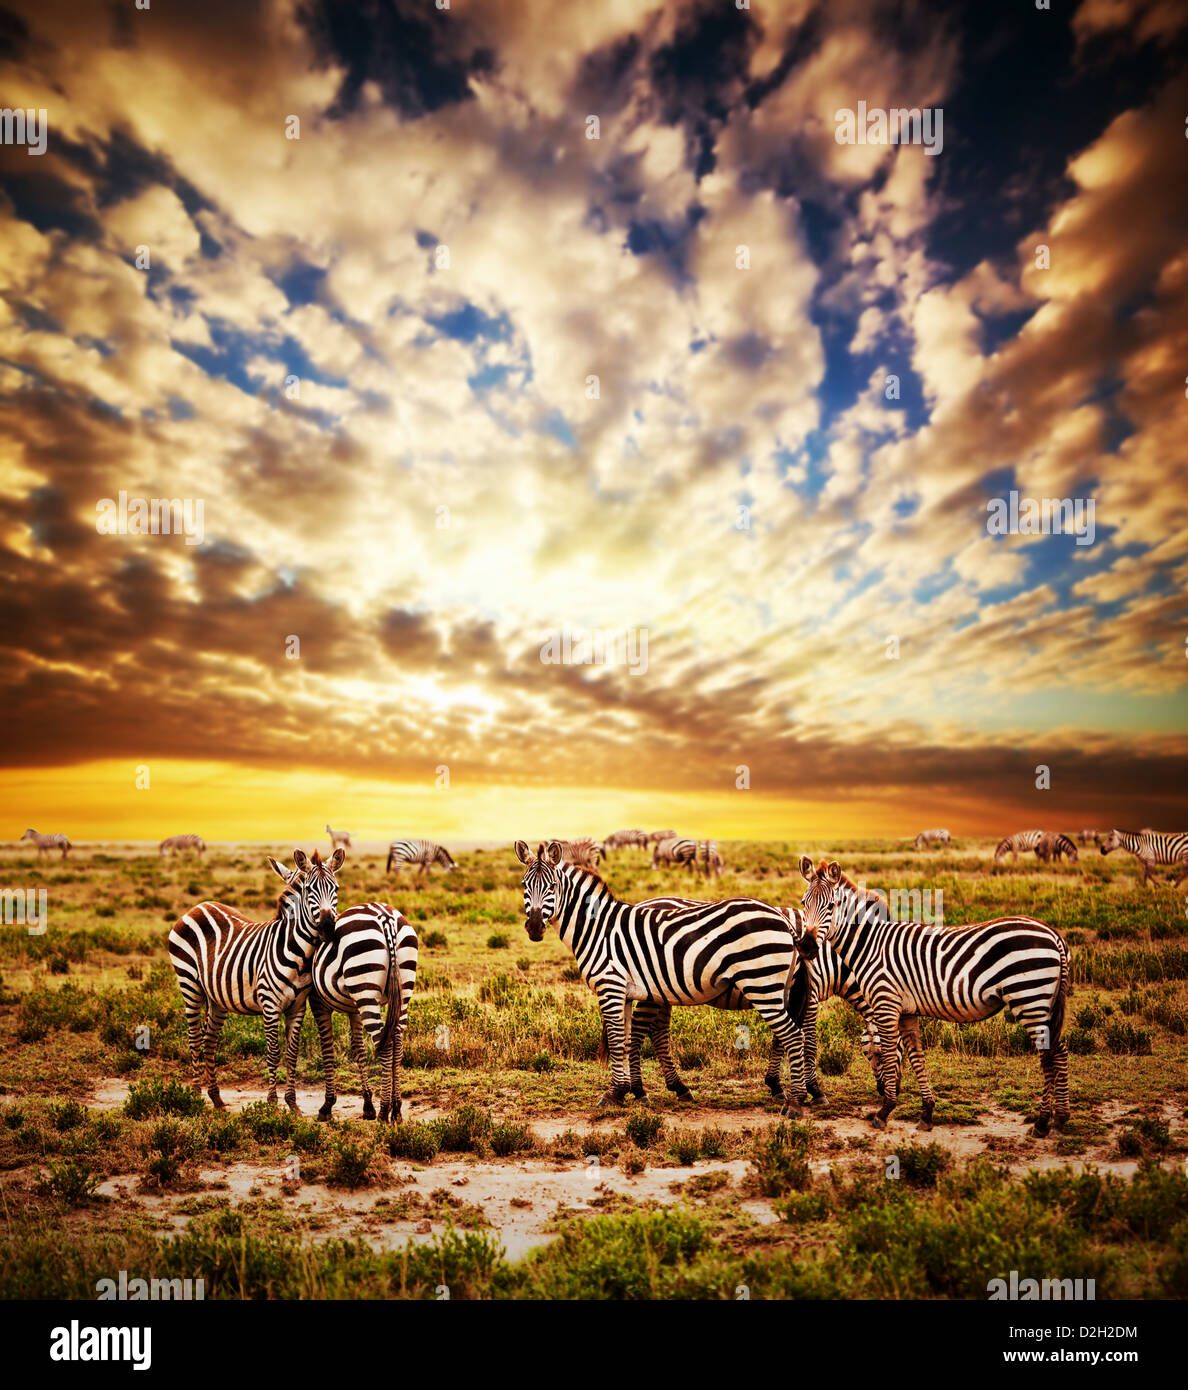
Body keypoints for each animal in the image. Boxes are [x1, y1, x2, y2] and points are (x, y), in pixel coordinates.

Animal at [167, 848, 344, 1110]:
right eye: (309, 889)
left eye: (336, 888)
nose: (328, 927)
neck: (300, 953)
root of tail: (198, 906)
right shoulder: (269, 1004)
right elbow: (273, 1052)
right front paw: (271, 1102)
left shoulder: (297, 1006)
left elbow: (291, 1053)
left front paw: (292, 1103)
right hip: (189, 984)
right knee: (194, 1039)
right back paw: (195, 1098)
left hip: (216, 997)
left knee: (209, 1041)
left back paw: (216, 1097)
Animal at [310, 902, 418, 1123]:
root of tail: (386, 917)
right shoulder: (354, 1008)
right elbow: (358, 1048)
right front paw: (368, 1105)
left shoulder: (318, 1002)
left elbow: (327, 1048)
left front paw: (327, 1105)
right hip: (401, 990)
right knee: (397, 1044)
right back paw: (397, 1109)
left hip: (365, 988)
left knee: (385, 1045)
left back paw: (384, 1111)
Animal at [513, 840, 817, 1114]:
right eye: (524, 886)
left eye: (552, 887)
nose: (534, 927)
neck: (597, 928)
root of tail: (785, 921)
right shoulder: (624, 992)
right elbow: (625, 1039)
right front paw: (626, 1091)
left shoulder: (610, 986)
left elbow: (616, 1040)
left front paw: (613, 1094)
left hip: (762, 984)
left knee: (792, 1035)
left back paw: (794, 1103)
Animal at [798, 856, 1071, 1135]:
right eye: (804, 903)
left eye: (831, 906)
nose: (805, 947)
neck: (871, 946)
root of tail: (1053, 934)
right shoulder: (906, 1011)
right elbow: (917, 1057)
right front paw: (927, 1113)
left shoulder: (886, 1004)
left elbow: (891, 1052)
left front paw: (884, 1111)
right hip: (1043, 1002)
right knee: (1060, 1052)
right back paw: (1060, 1118)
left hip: (1030, 998)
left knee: (1049, 1055)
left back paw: (1042, 1122)